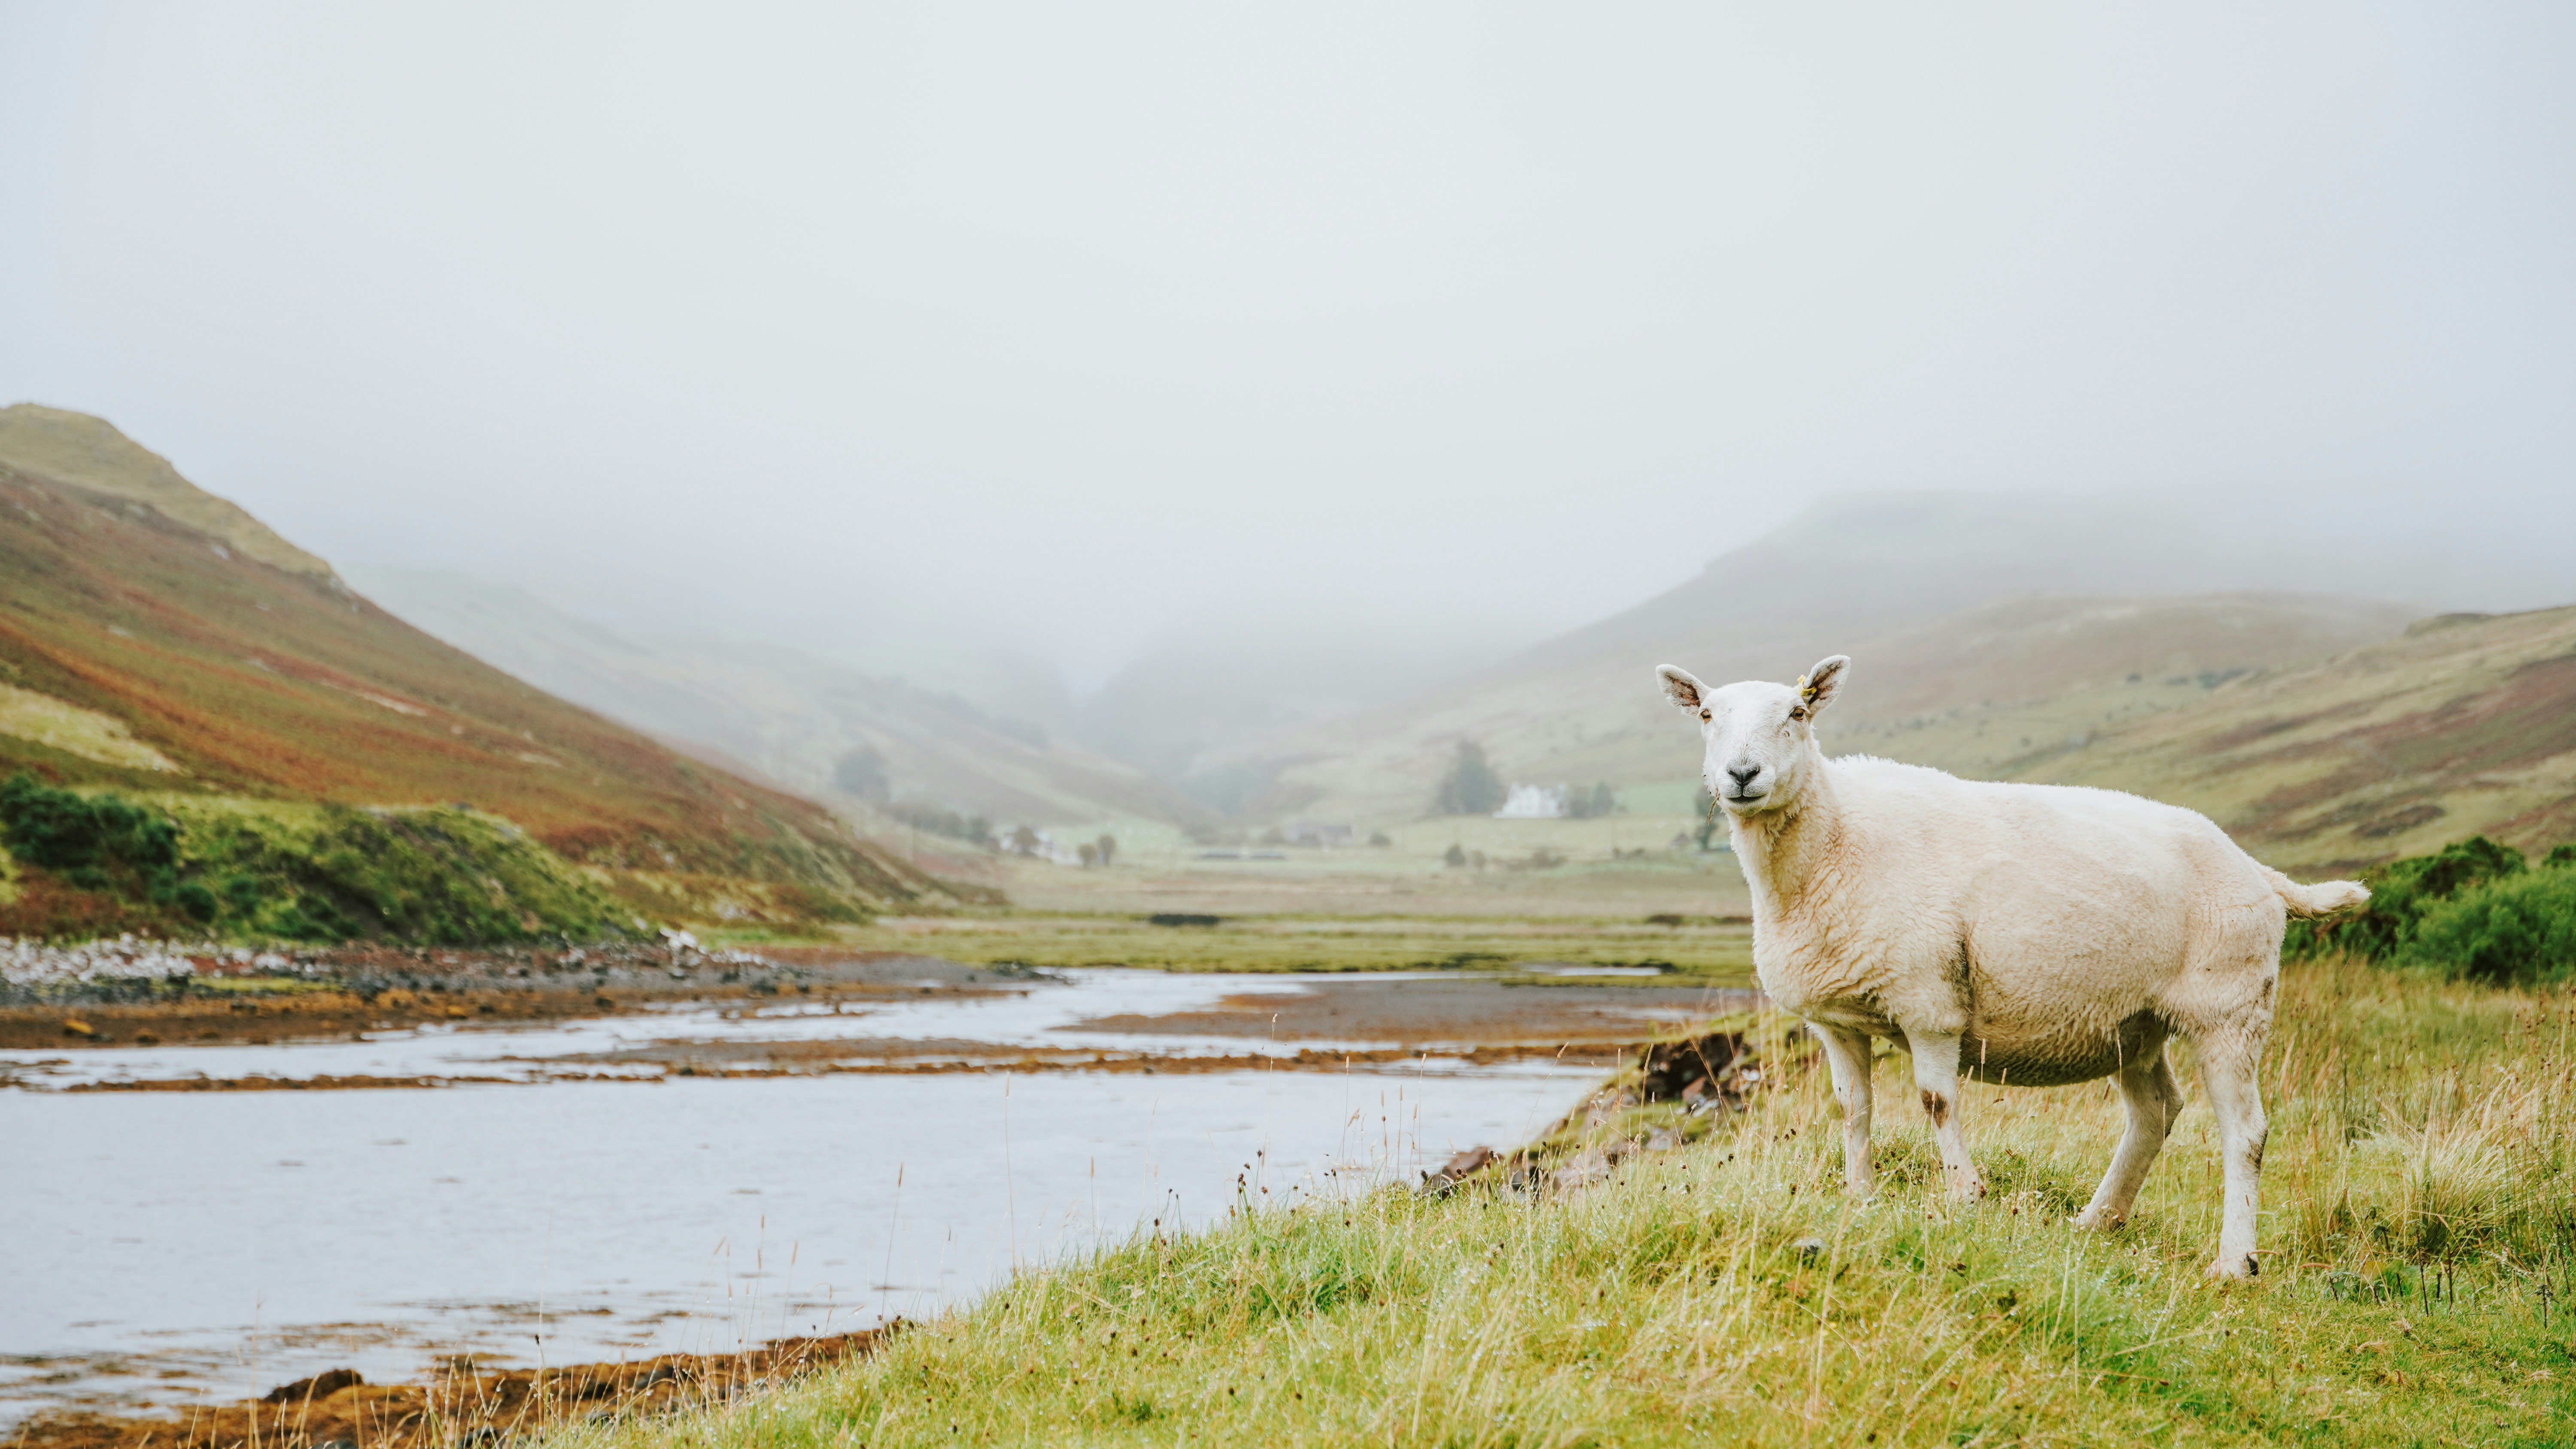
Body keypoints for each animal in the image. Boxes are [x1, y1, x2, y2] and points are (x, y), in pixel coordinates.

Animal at [1654, 654, 2367, 1278]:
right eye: (1708, 715)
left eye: (1798, 712)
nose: (1742, 775)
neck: (1835, 842)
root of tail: (2259, 871)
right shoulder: (1837, 1019)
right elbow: (1853, 1110)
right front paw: (1859, 1199)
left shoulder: (1929, 1004)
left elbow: (1936, 1101)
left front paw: (1964, 1196)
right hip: (2135, 1022)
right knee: (2156, 1111)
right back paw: (2099, 1219)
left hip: (2231, 1007)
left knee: (2245, 1132)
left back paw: (2234, 1262)